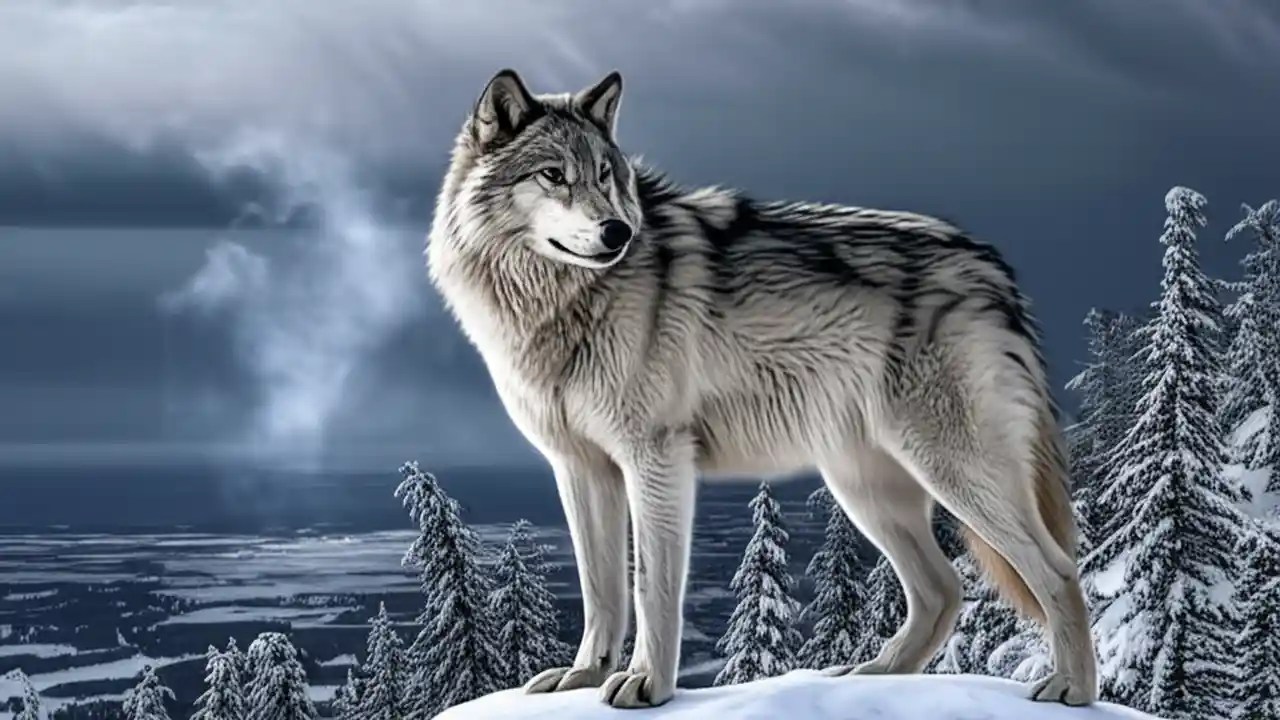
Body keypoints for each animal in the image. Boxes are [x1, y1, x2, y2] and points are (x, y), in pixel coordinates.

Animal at [426, 68, 1099, 709]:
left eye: (604, 175)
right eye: (553, 175)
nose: (617, 232)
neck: (562, 300)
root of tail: (995, 268)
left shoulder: (656, 459)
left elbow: (650, 588)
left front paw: (646, 685)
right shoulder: (580, 468)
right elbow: (601, 589)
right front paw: (583, 677)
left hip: (951, 470)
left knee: (1058, 569)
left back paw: (1074, 691)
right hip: (866, 487)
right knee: (943, 588)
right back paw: (869, 677)